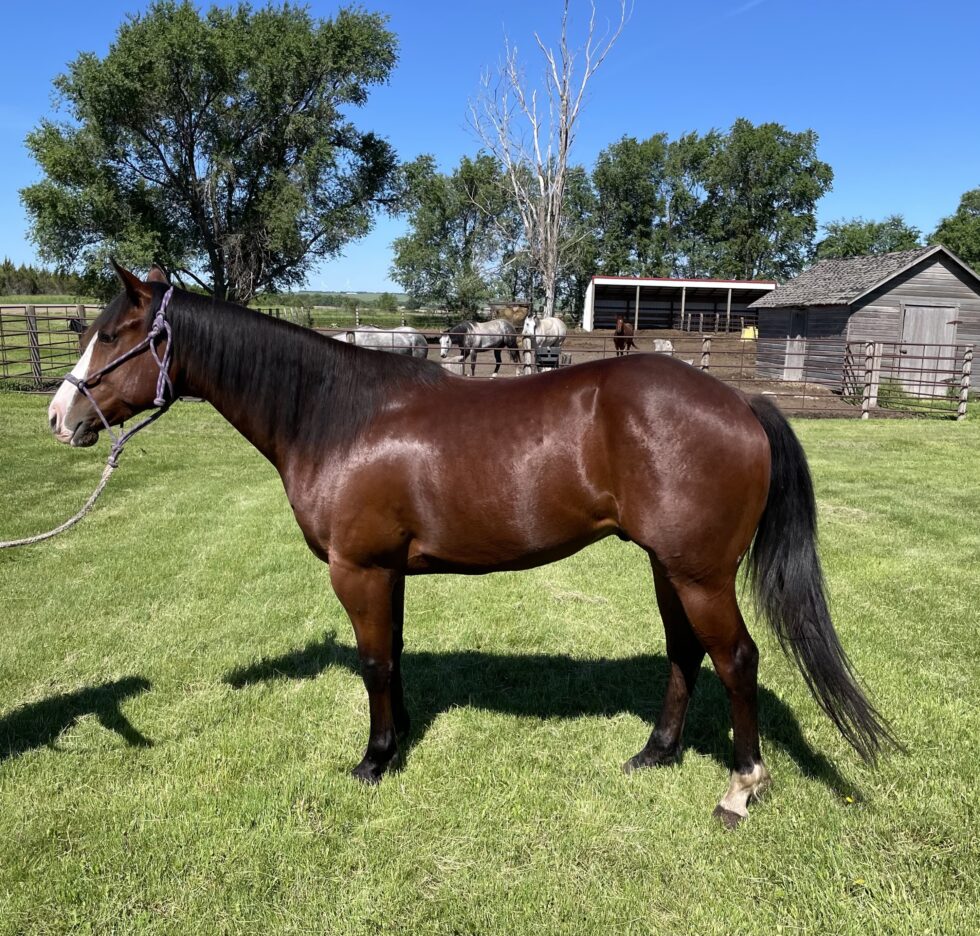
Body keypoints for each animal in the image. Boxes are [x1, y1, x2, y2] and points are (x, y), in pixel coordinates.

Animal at [46, 263, 897, 825]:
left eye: (115, 335)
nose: (61, 417)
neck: (336, 415)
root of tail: (743, 402)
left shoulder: (358, 570)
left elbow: (373, 661)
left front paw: (373, 760)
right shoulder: (387, 572)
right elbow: (391, 655)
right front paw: (398, 741)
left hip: (700, 573)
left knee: (737, 660)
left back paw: (740, 789)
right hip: (670, 567)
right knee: (685, 653)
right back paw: (654, 753)